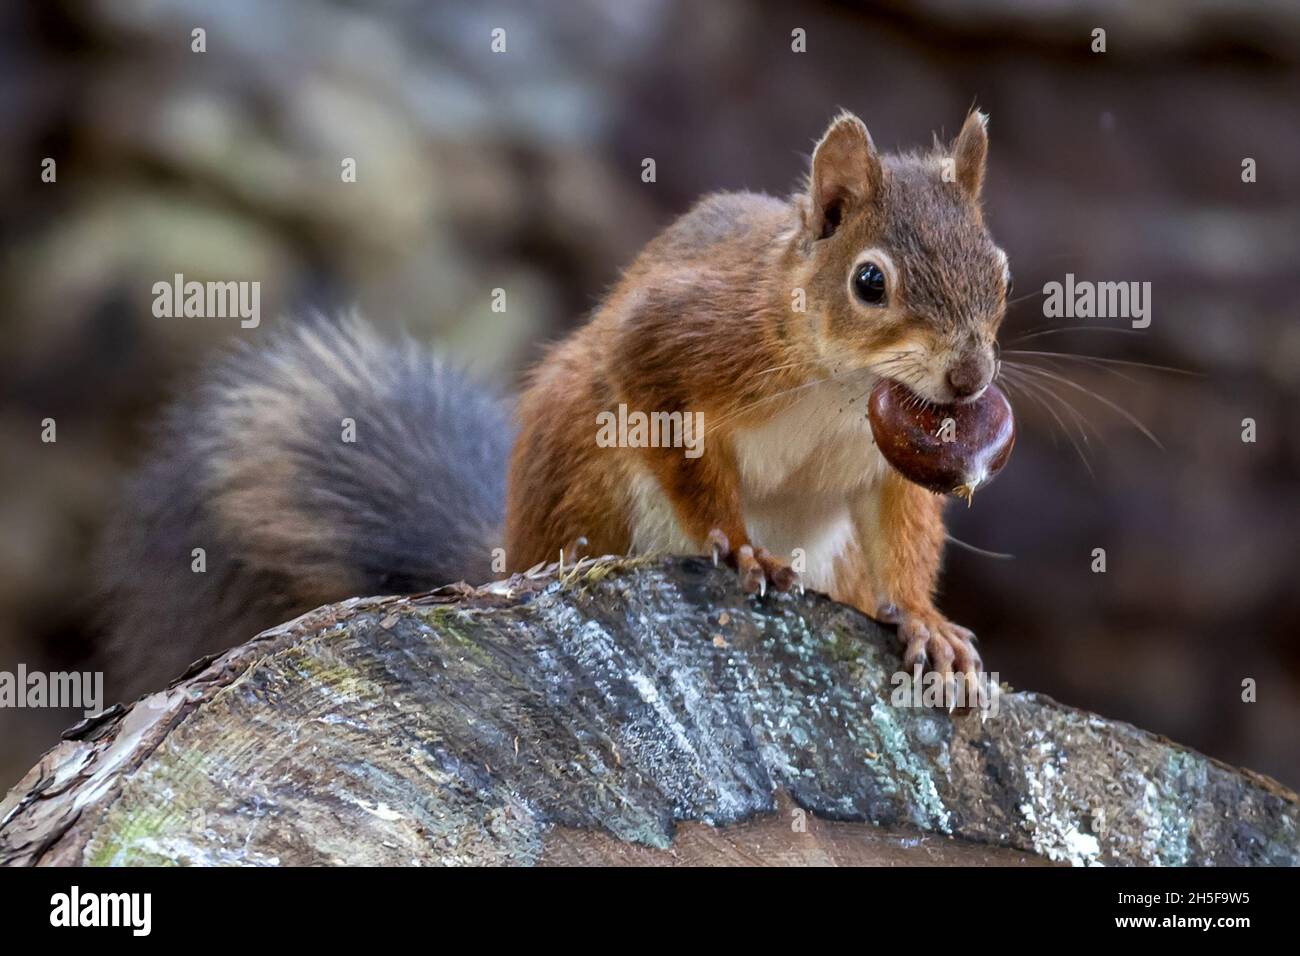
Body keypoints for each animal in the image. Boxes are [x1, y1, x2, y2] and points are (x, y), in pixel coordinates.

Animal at [97, 109, 1009, 701]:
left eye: (999, 271)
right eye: (869, 282)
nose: (969, 380)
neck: (844, 385)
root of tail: (509, 552)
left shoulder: (894, 465)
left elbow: (907, 532)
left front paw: (926, 622)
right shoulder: (678, 341)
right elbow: (675, 438)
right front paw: (743, 547)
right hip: (584, 469)